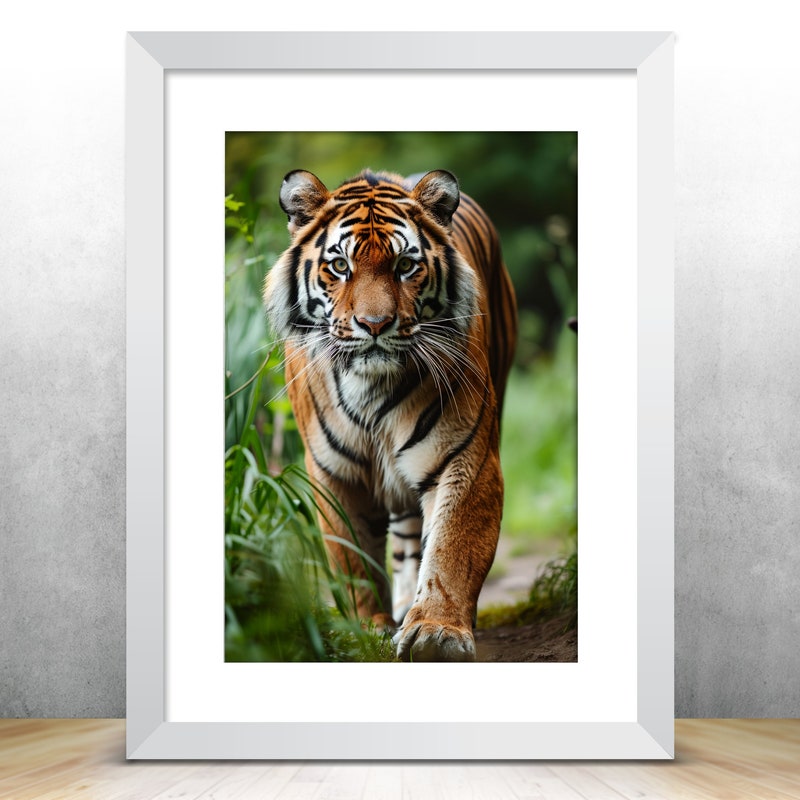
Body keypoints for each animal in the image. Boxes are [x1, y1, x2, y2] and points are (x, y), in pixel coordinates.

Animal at [263, 168, 517, 661]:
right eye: (340, 266)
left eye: (405, 266)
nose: (375, 324)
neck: (372, 389)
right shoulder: (334, 472)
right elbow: (352, 558)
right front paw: (368, 627)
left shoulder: (465, 458)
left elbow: (452, 545)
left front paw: (438, 631)